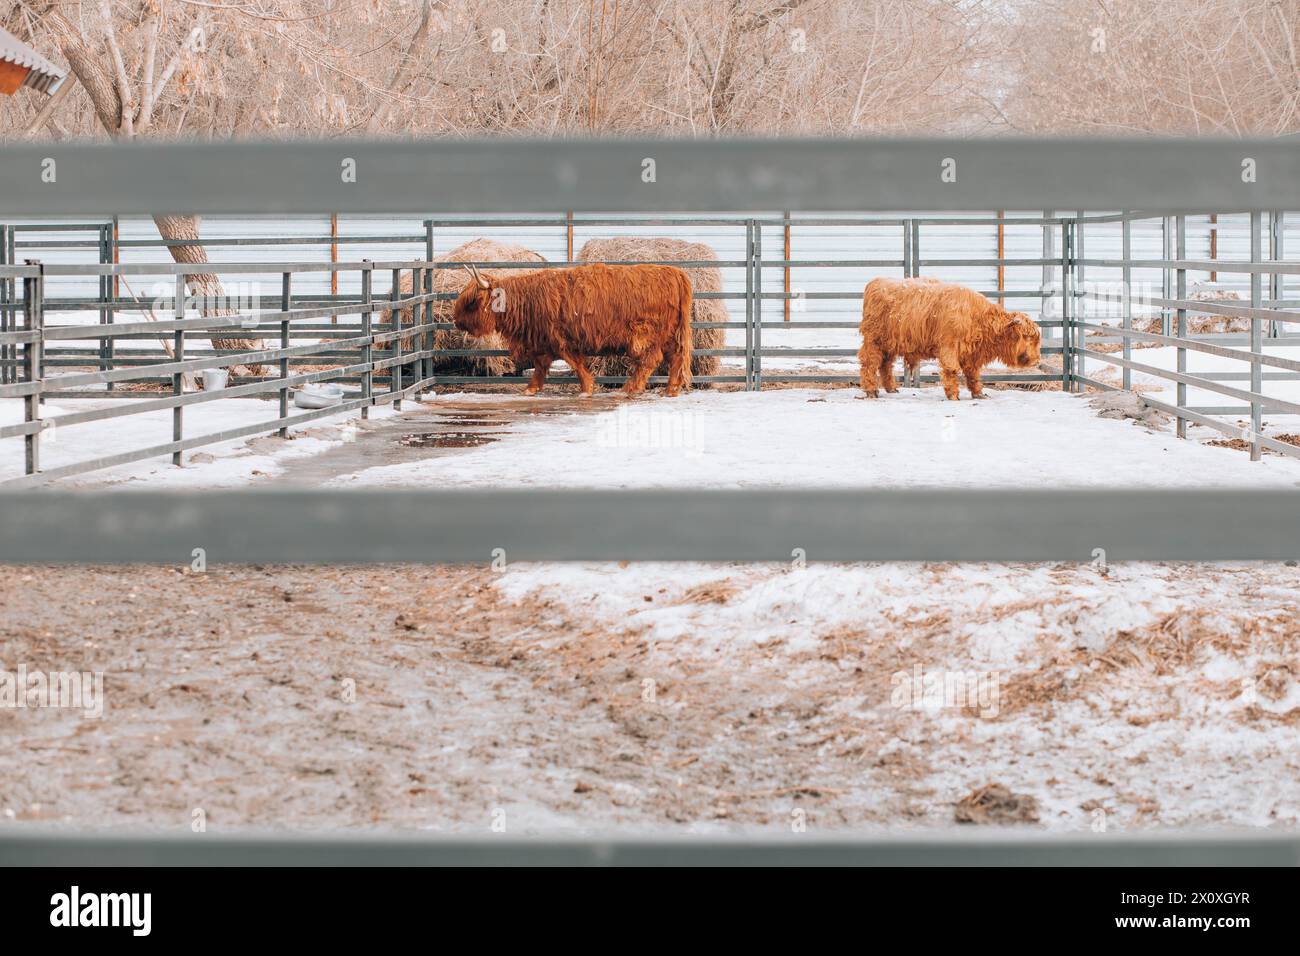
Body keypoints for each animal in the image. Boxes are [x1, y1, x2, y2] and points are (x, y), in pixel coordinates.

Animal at [451, 262, 693, 398]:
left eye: (472, 302)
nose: (456, 321)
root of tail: (675, 272)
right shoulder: (543, 342)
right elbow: (540, 367)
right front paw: (531, 388)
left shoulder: (561, 340)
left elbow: (576, 365)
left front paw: (586, 389)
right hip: (670, 335)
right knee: (676, 358)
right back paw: (671, 389)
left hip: (645, 335)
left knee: (651, 359)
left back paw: (630, 388)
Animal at [858, 277, 1041, 400]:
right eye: (1027, 337)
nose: (1037, 360)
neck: (978, 318)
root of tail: (876, 282)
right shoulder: (949, 347)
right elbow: (952, 370)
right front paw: (953, 395)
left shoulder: (971, 354)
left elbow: (973, 374)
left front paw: (979, 393)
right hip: (873, 341)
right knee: (870, 364)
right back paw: (871, 391)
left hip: (888, 344)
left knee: (885, 365)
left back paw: (891, 389)